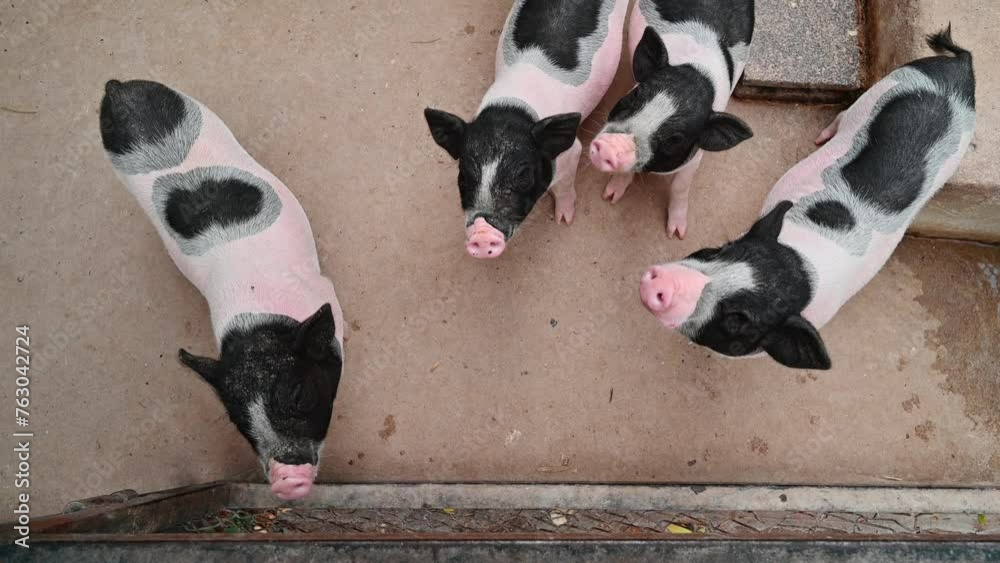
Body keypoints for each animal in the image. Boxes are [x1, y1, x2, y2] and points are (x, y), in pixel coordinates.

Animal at [99, 79, 346, 500]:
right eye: (238, 421)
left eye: (298, 394)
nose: (285, 481)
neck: (259, 319)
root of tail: (116, 89)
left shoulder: (325, 291)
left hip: (199, 111)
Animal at [424, 0, 629, 259]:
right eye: (464, 174)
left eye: (523, 173)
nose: (482, 233)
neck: (512, 109)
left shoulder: (573, 150)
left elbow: (564, 187)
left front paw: (564, 220)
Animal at [590, 0, 755, 239]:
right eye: (636, 95)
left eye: (676, 138)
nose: (611, 146)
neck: (695, 70)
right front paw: (610, 197)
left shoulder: (695, 157)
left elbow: (680, 187)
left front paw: (676, 234)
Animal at [639, 27, 975, 369]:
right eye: (721, 249)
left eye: (738, 320)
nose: (660, 281)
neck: (801, 263)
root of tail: (961, 69)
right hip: (888, 83)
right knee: (845, 112)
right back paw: (820, 138)